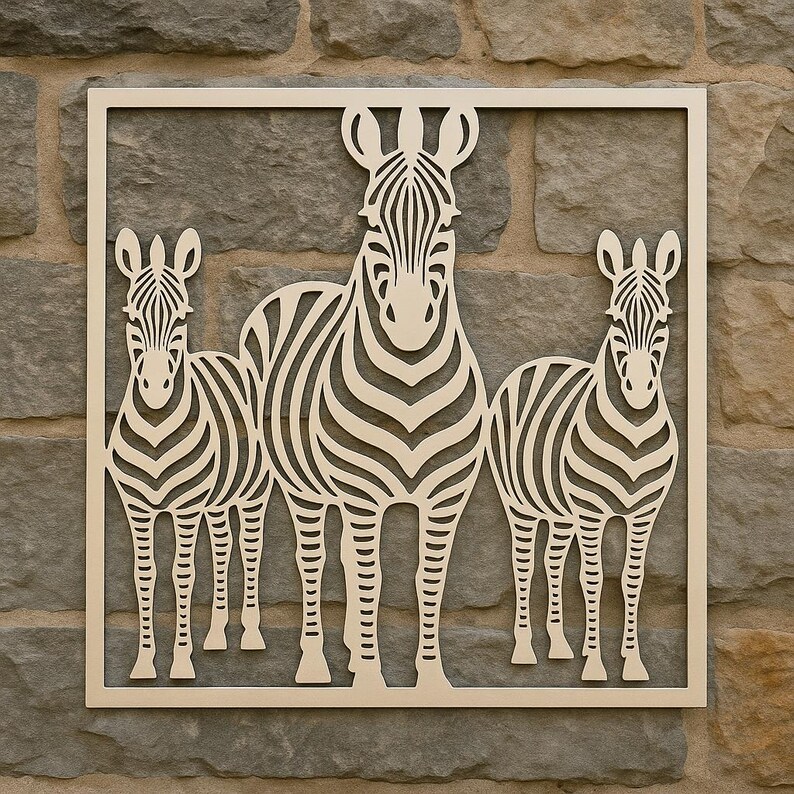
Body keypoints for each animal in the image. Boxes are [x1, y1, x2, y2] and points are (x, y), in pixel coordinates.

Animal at [107, 227, 271, 680]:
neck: (157, 429)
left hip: (253, 492)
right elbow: (144, 576)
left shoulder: (186, 506)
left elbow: (183, 575)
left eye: (181, 318)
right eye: (131, 317)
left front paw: (181, 662)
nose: (155, 390)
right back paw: (216, 636)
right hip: (217, 501)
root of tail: (227, 357)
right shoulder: (135, 505)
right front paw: (144, 663)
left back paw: (251, 635)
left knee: (250, 549)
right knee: (222, 548)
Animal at [239, 105, 488, 690]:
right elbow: (371, 577)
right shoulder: (360, 492)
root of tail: (301, 286)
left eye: (448, 222)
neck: (409, 378)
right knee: (314, 559)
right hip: (303, 485)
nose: (411, 325)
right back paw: (314, 664)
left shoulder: (447, 495)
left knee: (347, 560)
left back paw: (351, 652)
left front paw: (430, 679)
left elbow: (427, 579)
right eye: (373, 222)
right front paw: (372, 681)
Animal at [488, 228, 681, 682]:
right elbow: (592, 580)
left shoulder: (645, 512)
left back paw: (559, 645)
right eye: (614, 320)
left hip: (560, 512)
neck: (633, 433)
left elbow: (632, 579)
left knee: (552, 562)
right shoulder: (591, 512)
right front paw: (594, 664)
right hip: (518, 502)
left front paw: (632, 662)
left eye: (664, 320)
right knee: (524, 564)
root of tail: (537, 361)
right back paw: (524, 650)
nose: (640, 392)